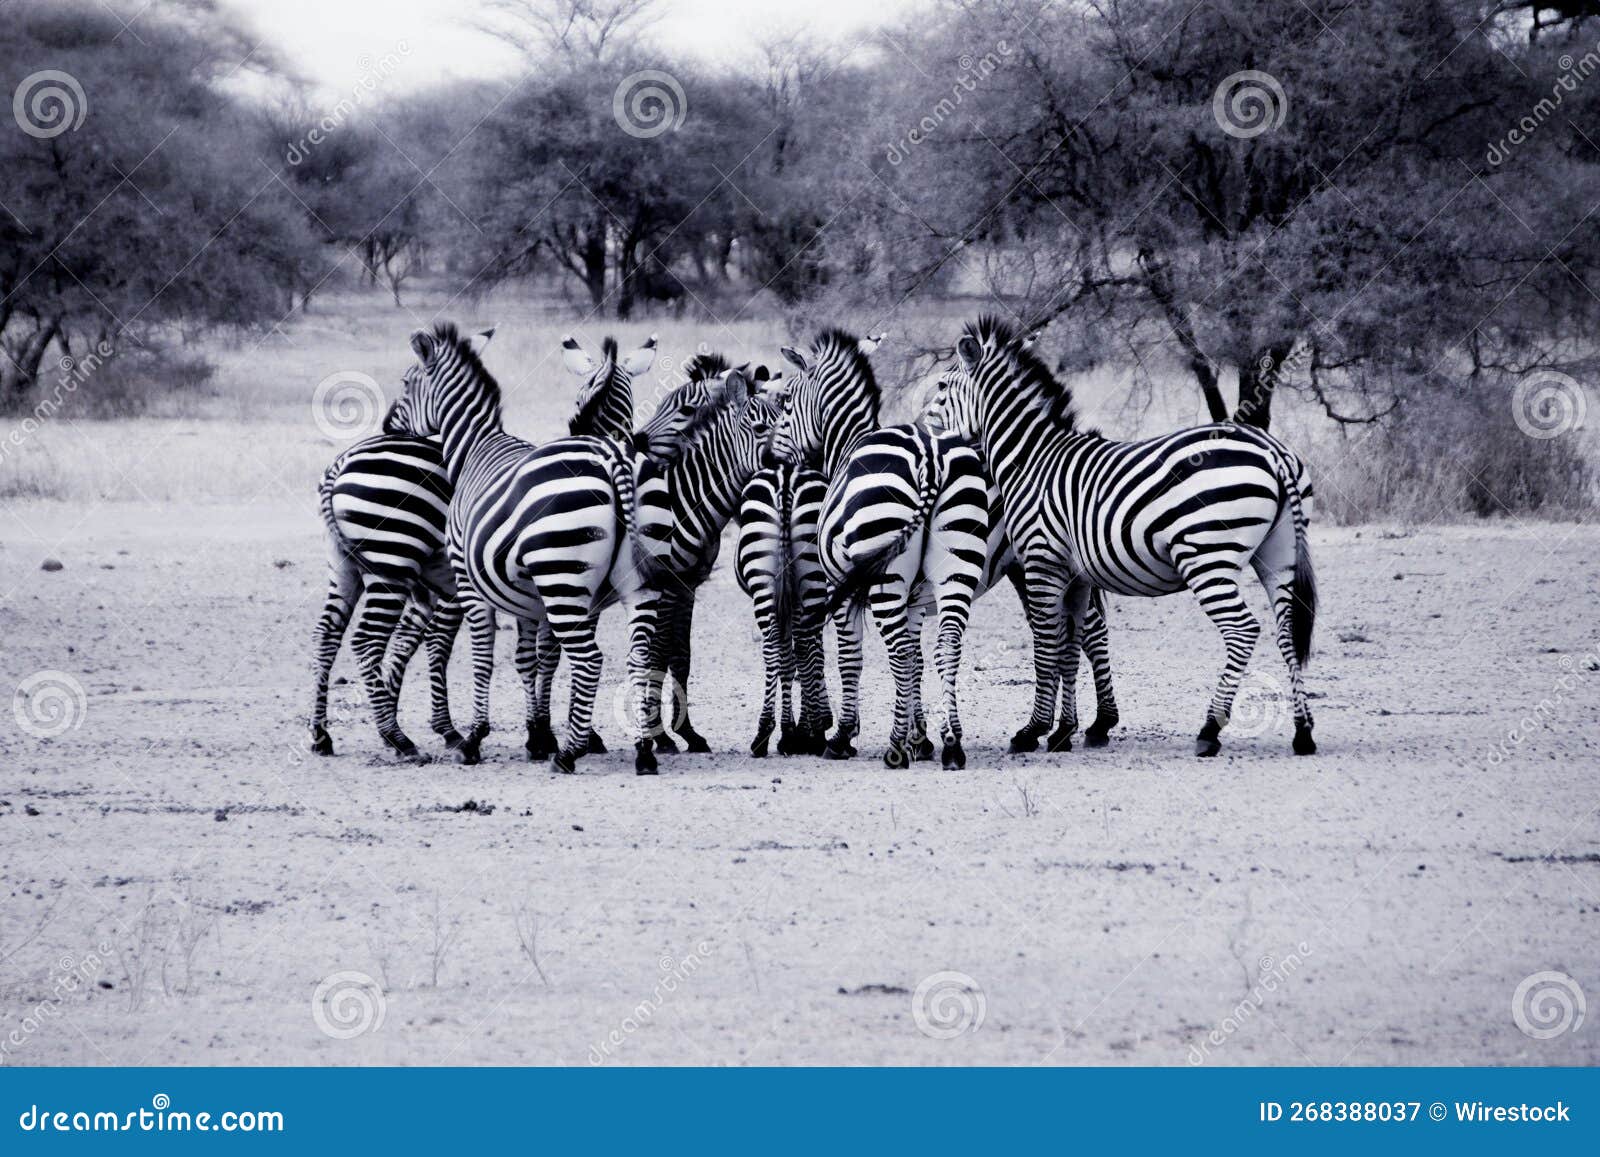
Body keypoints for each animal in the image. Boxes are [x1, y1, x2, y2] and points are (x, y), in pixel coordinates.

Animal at [309, 333, 650, 760]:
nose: (390, 426)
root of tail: (340, 464)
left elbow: (536, 657)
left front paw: (546, 733)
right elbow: (543, 656)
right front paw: (555, 735)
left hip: (349, 567)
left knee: (332, 635)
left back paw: (330, 734)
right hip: (393, 564)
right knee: (373, 640)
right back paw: (403, 735)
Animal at [400, 322, 711, 774]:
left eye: (406, 384)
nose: (390, 424)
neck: (476, 448)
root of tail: (615, 457)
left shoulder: (472, 582)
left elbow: (487, 658)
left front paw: (481, 738)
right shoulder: (533, 599)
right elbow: (534, 660)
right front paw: (540, 734)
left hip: (561, 579)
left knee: (589, 659)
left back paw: (568, 754)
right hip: (634, 583)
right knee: (636, 656)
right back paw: (642, 751)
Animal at [929, 315, 1318, 757]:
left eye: (941, 387)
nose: (923, 427)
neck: (1031, 459)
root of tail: (1272, 452)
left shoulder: (1041, 560)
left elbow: (1045, 644)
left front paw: (1032, 730)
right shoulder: (1075, 574)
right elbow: (1070, 642)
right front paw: (1063, 731)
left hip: (1207, 556)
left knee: (1242, 630)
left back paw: (1209, 730)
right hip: (1279, 554)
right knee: (1287, 630)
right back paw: (1303, 733)